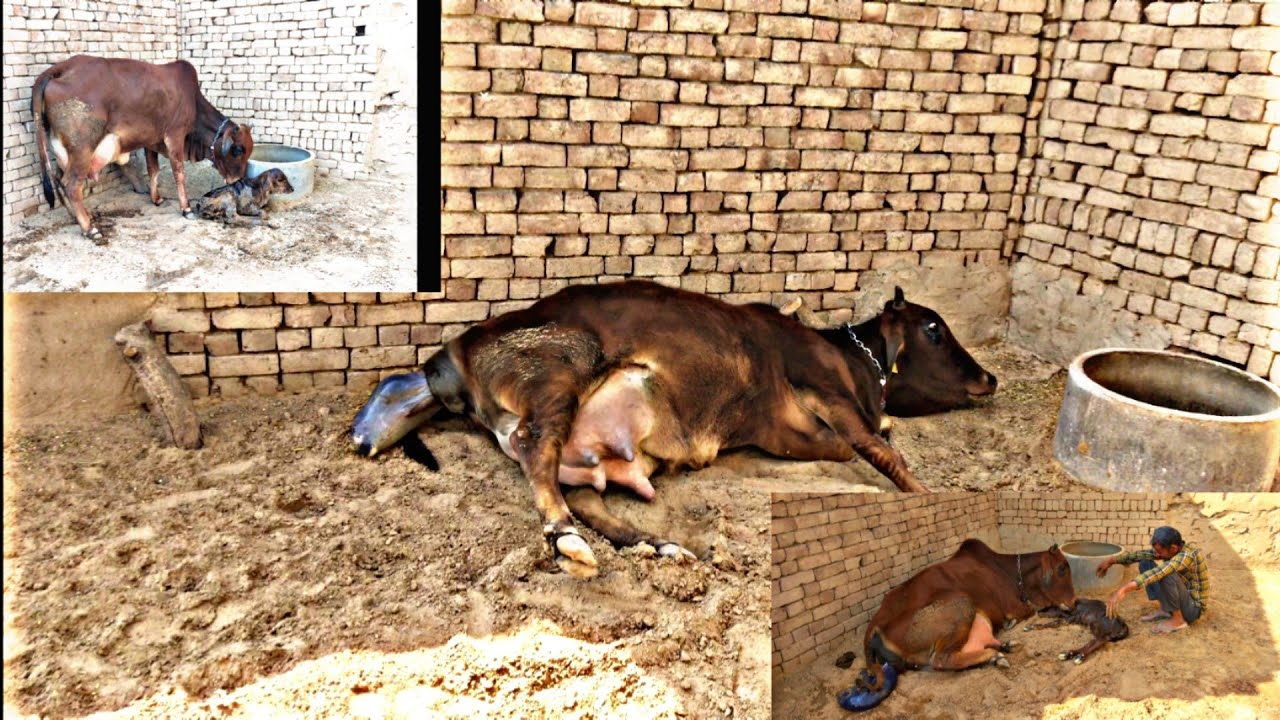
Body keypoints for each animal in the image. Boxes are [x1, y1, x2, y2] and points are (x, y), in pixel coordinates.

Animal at [31, 55, 255, 244]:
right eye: (237, 150)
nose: (238, 180)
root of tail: (61, 68)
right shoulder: (175, 135)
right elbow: (179, 173)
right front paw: (186, 209)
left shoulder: (152, 142)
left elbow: (153, 170)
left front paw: (156, 199)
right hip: (82, 150)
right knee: (70, 185)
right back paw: (89, 229)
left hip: (63, 151)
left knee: (59, 180)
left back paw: (75, 217)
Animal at [350, 280, 998, 578]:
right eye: (934, 328)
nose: (991, 377)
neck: (851, 360)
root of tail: (454, 356)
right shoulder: (825, 391)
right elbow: (880, 451)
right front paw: (925, 495)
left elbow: (858, 447)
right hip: (560, 369)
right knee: (540, 453)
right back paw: (565, 539)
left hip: (606, 451)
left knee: (584, 492)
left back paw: (659, 544)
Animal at [839, 540, 1076, 711]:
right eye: (1062, 568)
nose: (1074, 602)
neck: (1010, 573)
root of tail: (876, 622)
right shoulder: (1015, 607)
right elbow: (1029, 612)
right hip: (961, 604)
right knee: (942, 660)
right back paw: (995, 655)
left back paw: (1003, 649)